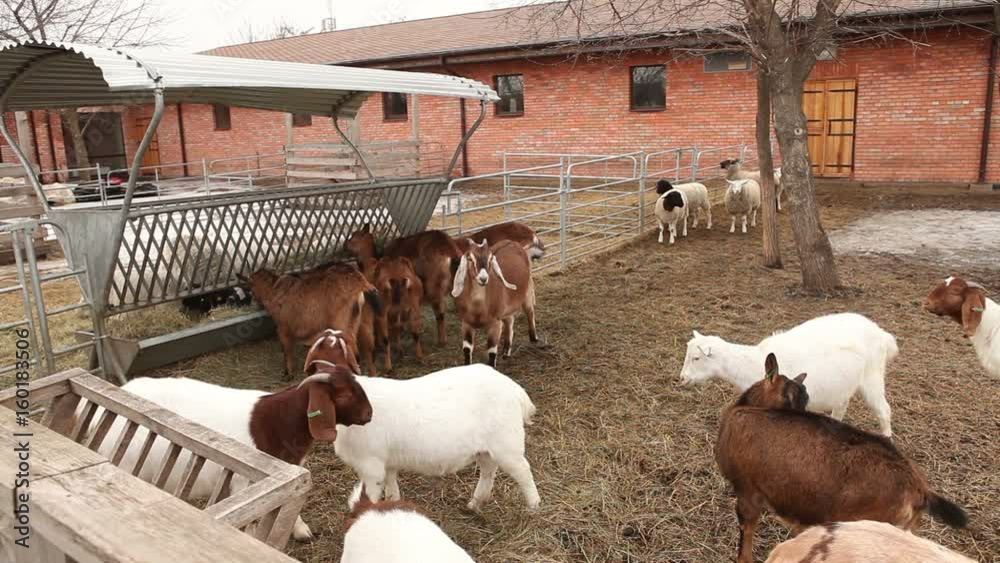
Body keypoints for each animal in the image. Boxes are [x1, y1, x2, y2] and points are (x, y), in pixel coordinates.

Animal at [241, 263, 380, 377]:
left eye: (250, 287)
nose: (256, 303)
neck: (274, 288)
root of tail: (361, 283)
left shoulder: (283, 327)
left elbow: (287, 350)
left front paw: (288, 373)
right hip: (364, 320)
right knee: (369, 350)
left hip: (342, 324)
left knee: (354, 352)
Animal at [681, 313, 898, 436]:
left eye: (696, 358)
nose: (682, 378)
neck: (753, 363)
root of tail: (882, 335)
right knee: (841, 407)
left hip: (873, 376)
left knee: (884, 410)